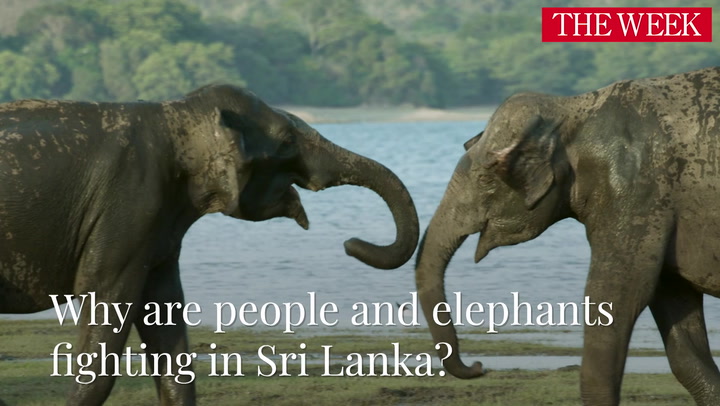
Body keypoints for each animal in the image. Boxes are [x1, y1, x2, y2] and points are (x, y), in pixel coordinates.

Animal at [0, 84, 419, 405]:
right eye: (286, 141)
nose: (350, 243)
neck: (176, 113)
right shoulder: (126, 207)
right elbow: (105, 299)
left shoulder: (157, 228)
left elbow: (165, 315)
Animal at [415, 66, 720, 405]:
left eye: (484, 179)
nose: (478, 366)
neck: (572, 109)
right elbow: (675, 311)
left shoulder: (634, 193)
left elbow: (615, 297)